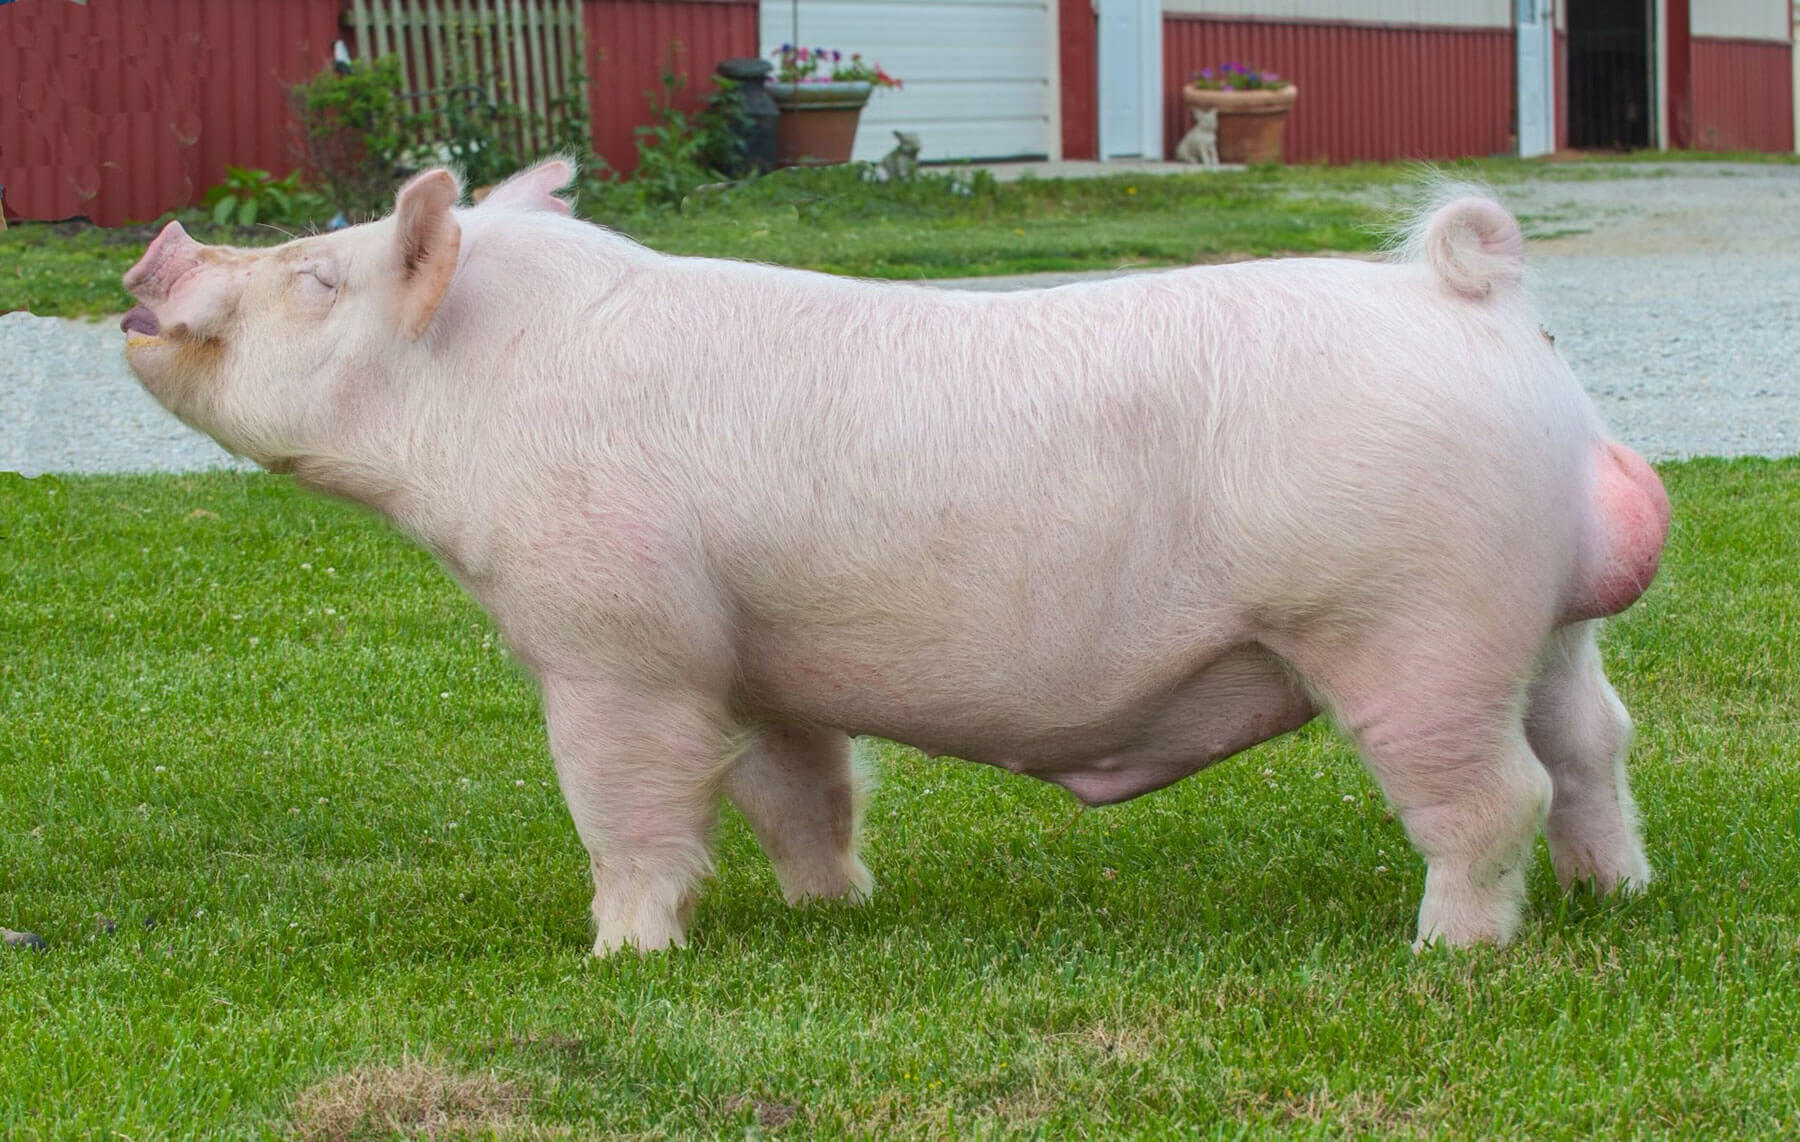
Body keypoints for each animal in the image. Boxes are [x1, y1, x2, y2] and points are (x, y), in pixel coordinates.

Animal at [120, 159, 1669, 954]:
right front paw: (834, 910)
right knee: (1594, 741)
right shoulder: (751, 659)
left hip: (1415, 620)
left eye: (319, 274)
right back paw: (1616, 894)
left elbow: (628, 802)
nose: (156, 254)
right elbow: (800, 790)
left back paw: (1450, 951)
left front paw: (623, 951)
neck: (490, 391)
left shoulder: (614, 639)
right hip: (1546, 617)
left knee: (1497, 792)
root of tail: (1473, 295)